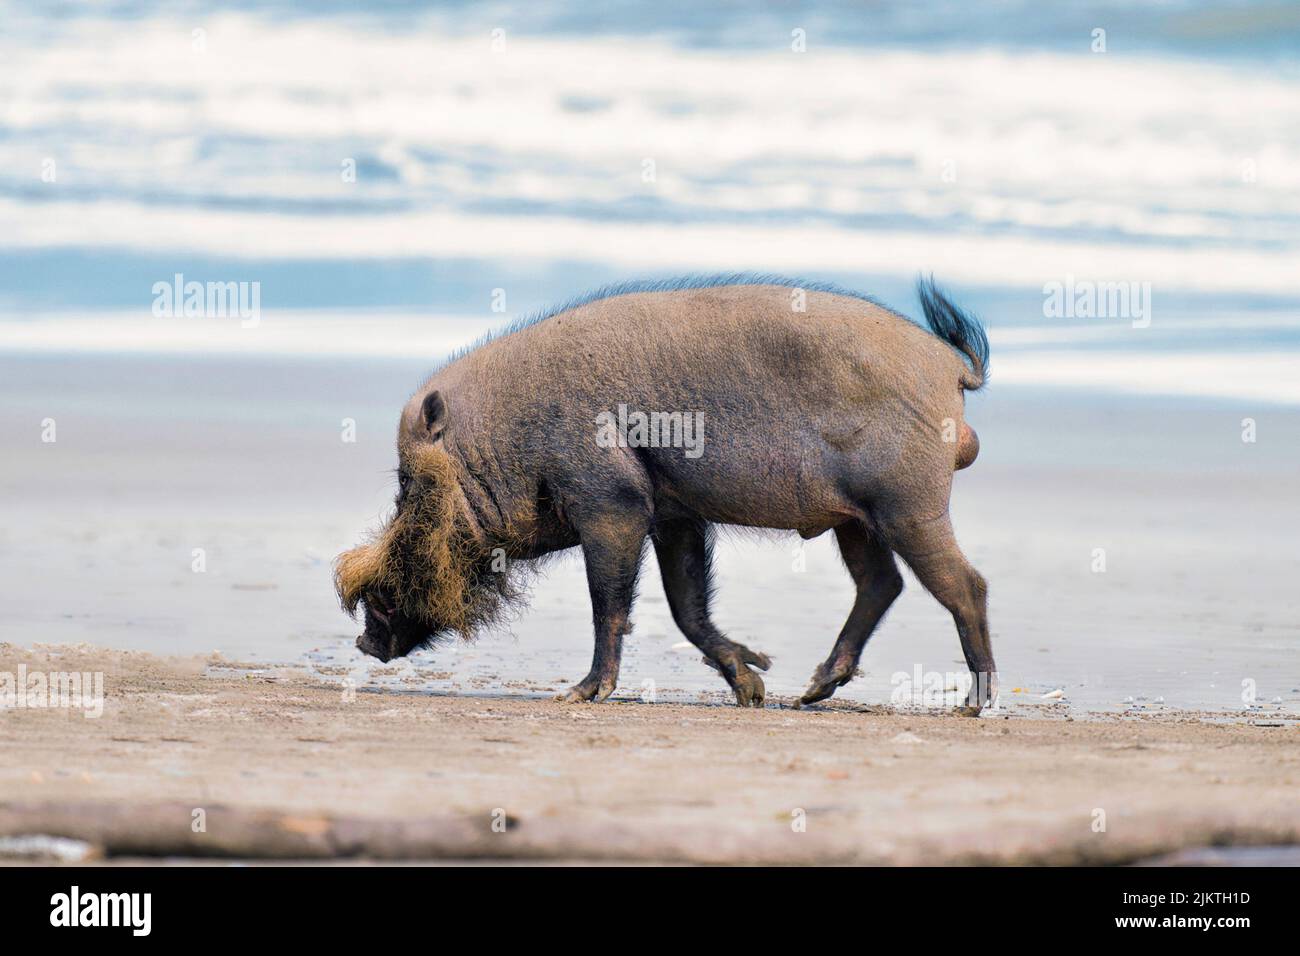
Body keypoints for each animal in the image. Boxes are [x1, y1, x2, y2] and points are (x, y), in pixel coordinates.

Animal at [335, 275, 996, 712]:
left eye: (407, 485)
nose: (364, 640)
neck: (504, 440)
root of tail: (951, 368)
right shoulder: (675, 515)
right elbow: (686, 607)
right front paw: (754, 687)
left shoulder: (613, 503)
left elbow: (609, 604)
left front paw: (580, 695)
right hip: (856, 519)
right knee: (882, 583)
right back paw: (806, 695)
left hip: (909, 506)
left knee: (965, 585)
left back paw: (972, 704)